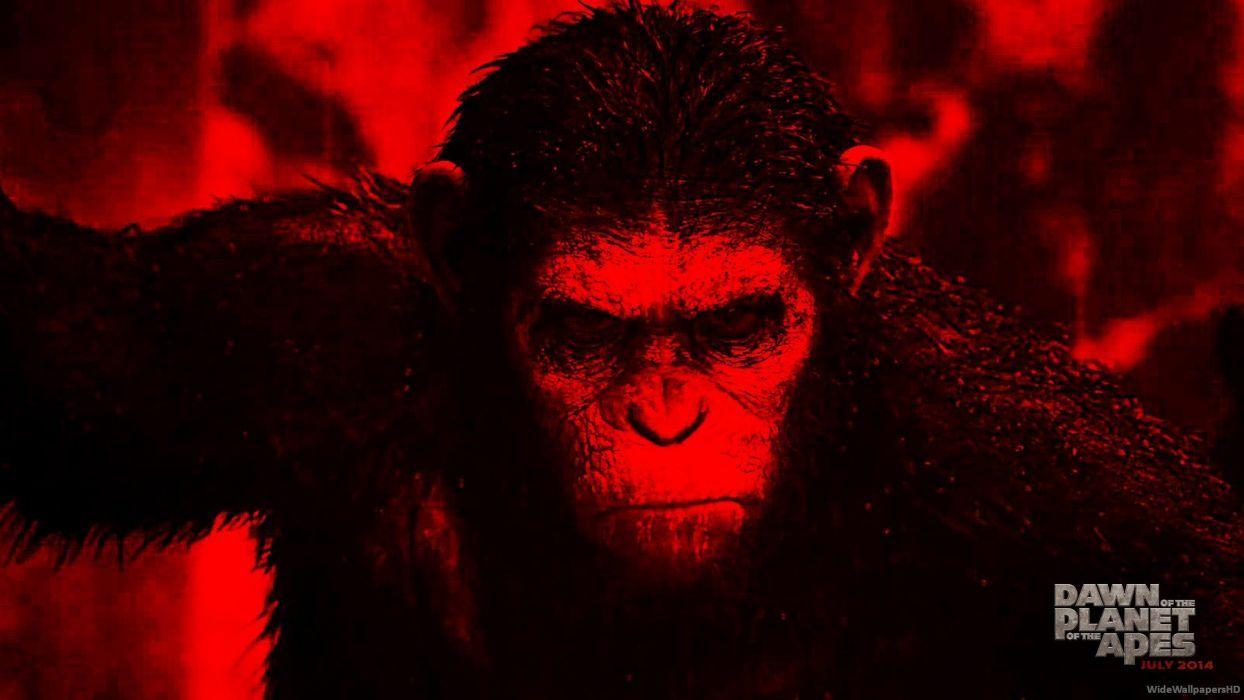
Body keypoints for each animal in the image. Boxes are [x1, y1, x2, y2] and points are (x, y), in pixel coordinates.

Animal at [0, 3, 1239, 698]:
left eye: (738, 324)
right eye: (582, 332)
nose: (665, 417)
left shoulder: (1059, 479)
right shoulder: (287, 311)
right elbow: (72, 348)